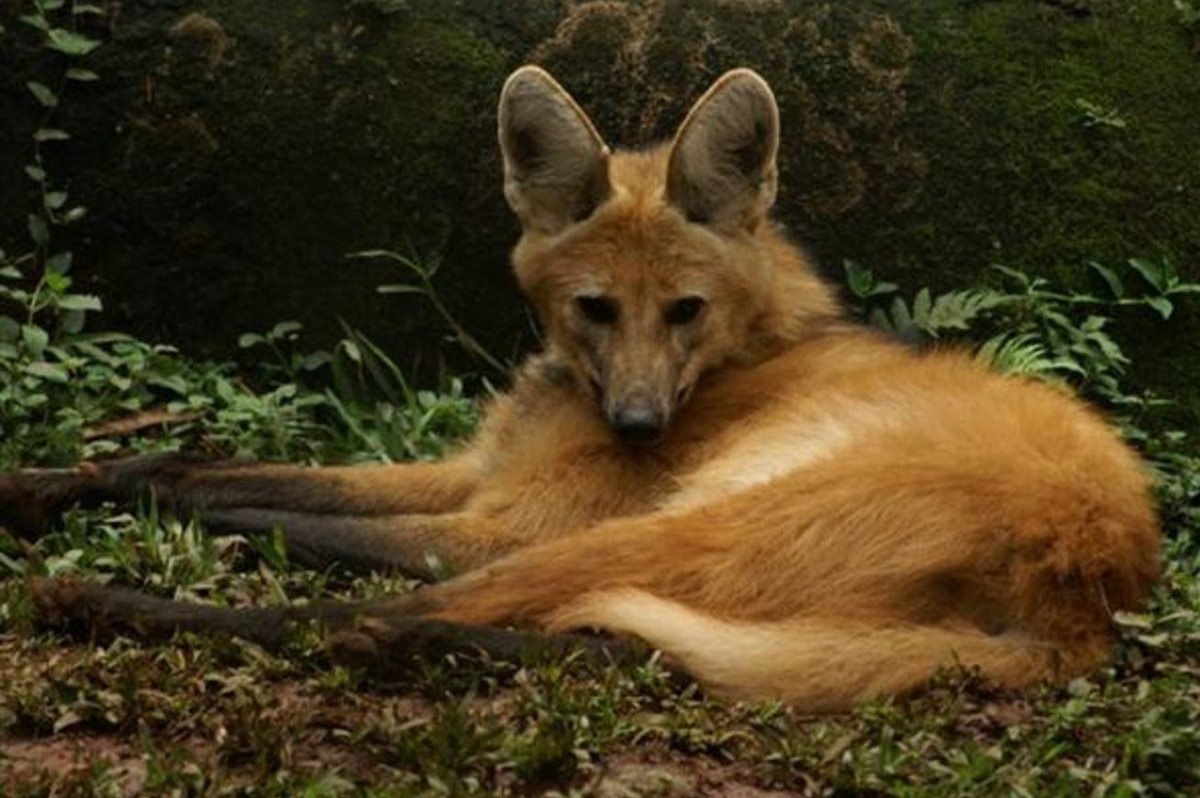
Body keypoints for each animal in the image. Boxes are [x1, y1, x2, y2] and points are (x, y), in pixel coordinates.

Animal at [0, 67, 1160, 712]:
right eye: (596, 308)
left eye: (684, 310)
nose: (640, 425)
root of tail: (1096, 581)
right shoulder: (470, 473)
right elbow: (196, 466)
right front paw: (41, 487)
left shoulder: (496, 519)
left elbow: (264, 515)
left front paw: (95, 547)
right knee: (603, 645)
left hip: (687, 524)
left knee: (384, 615)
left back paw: (101, 603)